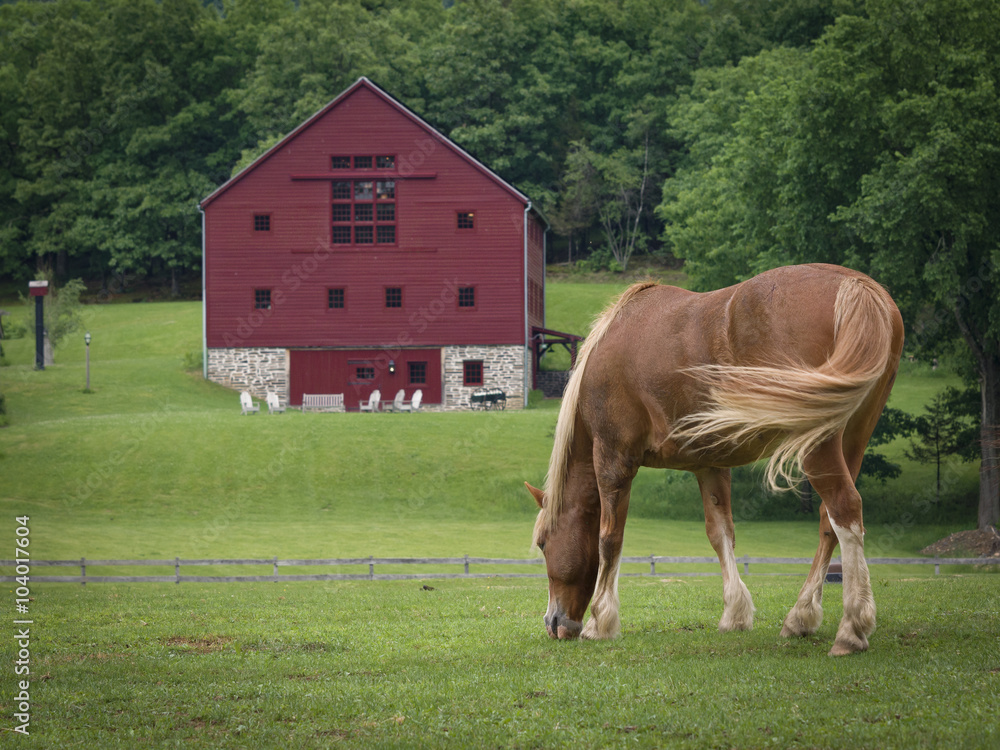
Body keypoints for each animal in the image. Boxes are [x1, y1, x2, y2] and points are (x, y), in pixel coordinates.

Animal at [526, 263, 904, 656]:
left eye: (542, 544)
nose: (554, 623)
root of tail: (856, 285)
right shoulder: (709, 465)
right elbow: (720, 533)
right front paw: (735, 614)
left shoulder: (613, 459)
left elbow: (609, 538)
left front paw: (601, 622)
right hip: (853, 438)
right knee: (829, 522)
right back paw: (800, 618)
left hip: (818, 443)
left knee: (845, 509)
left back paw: (851, 629)